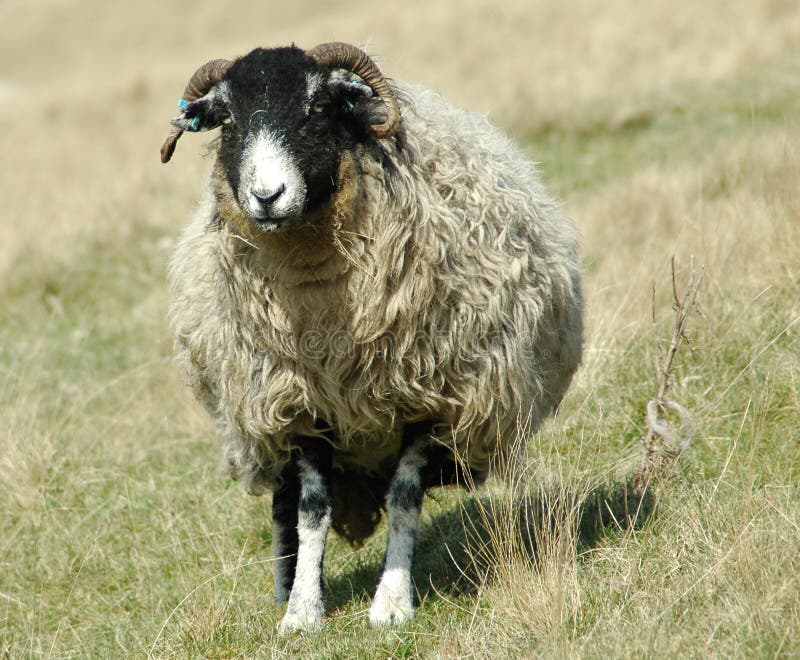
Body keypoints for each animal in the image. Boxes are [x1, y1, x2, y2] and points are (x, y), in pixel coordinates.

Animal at [161, 42, 583, 633]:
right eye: (229, 121)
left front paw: (391, 603)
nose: (267, 196)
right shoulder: (298, 407)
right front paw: (302, 613)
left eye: (318, 109)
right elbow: (311, 512)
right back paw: (284, 589)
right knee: (283, 506)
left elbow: (405, 498)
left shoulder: (431, 396)